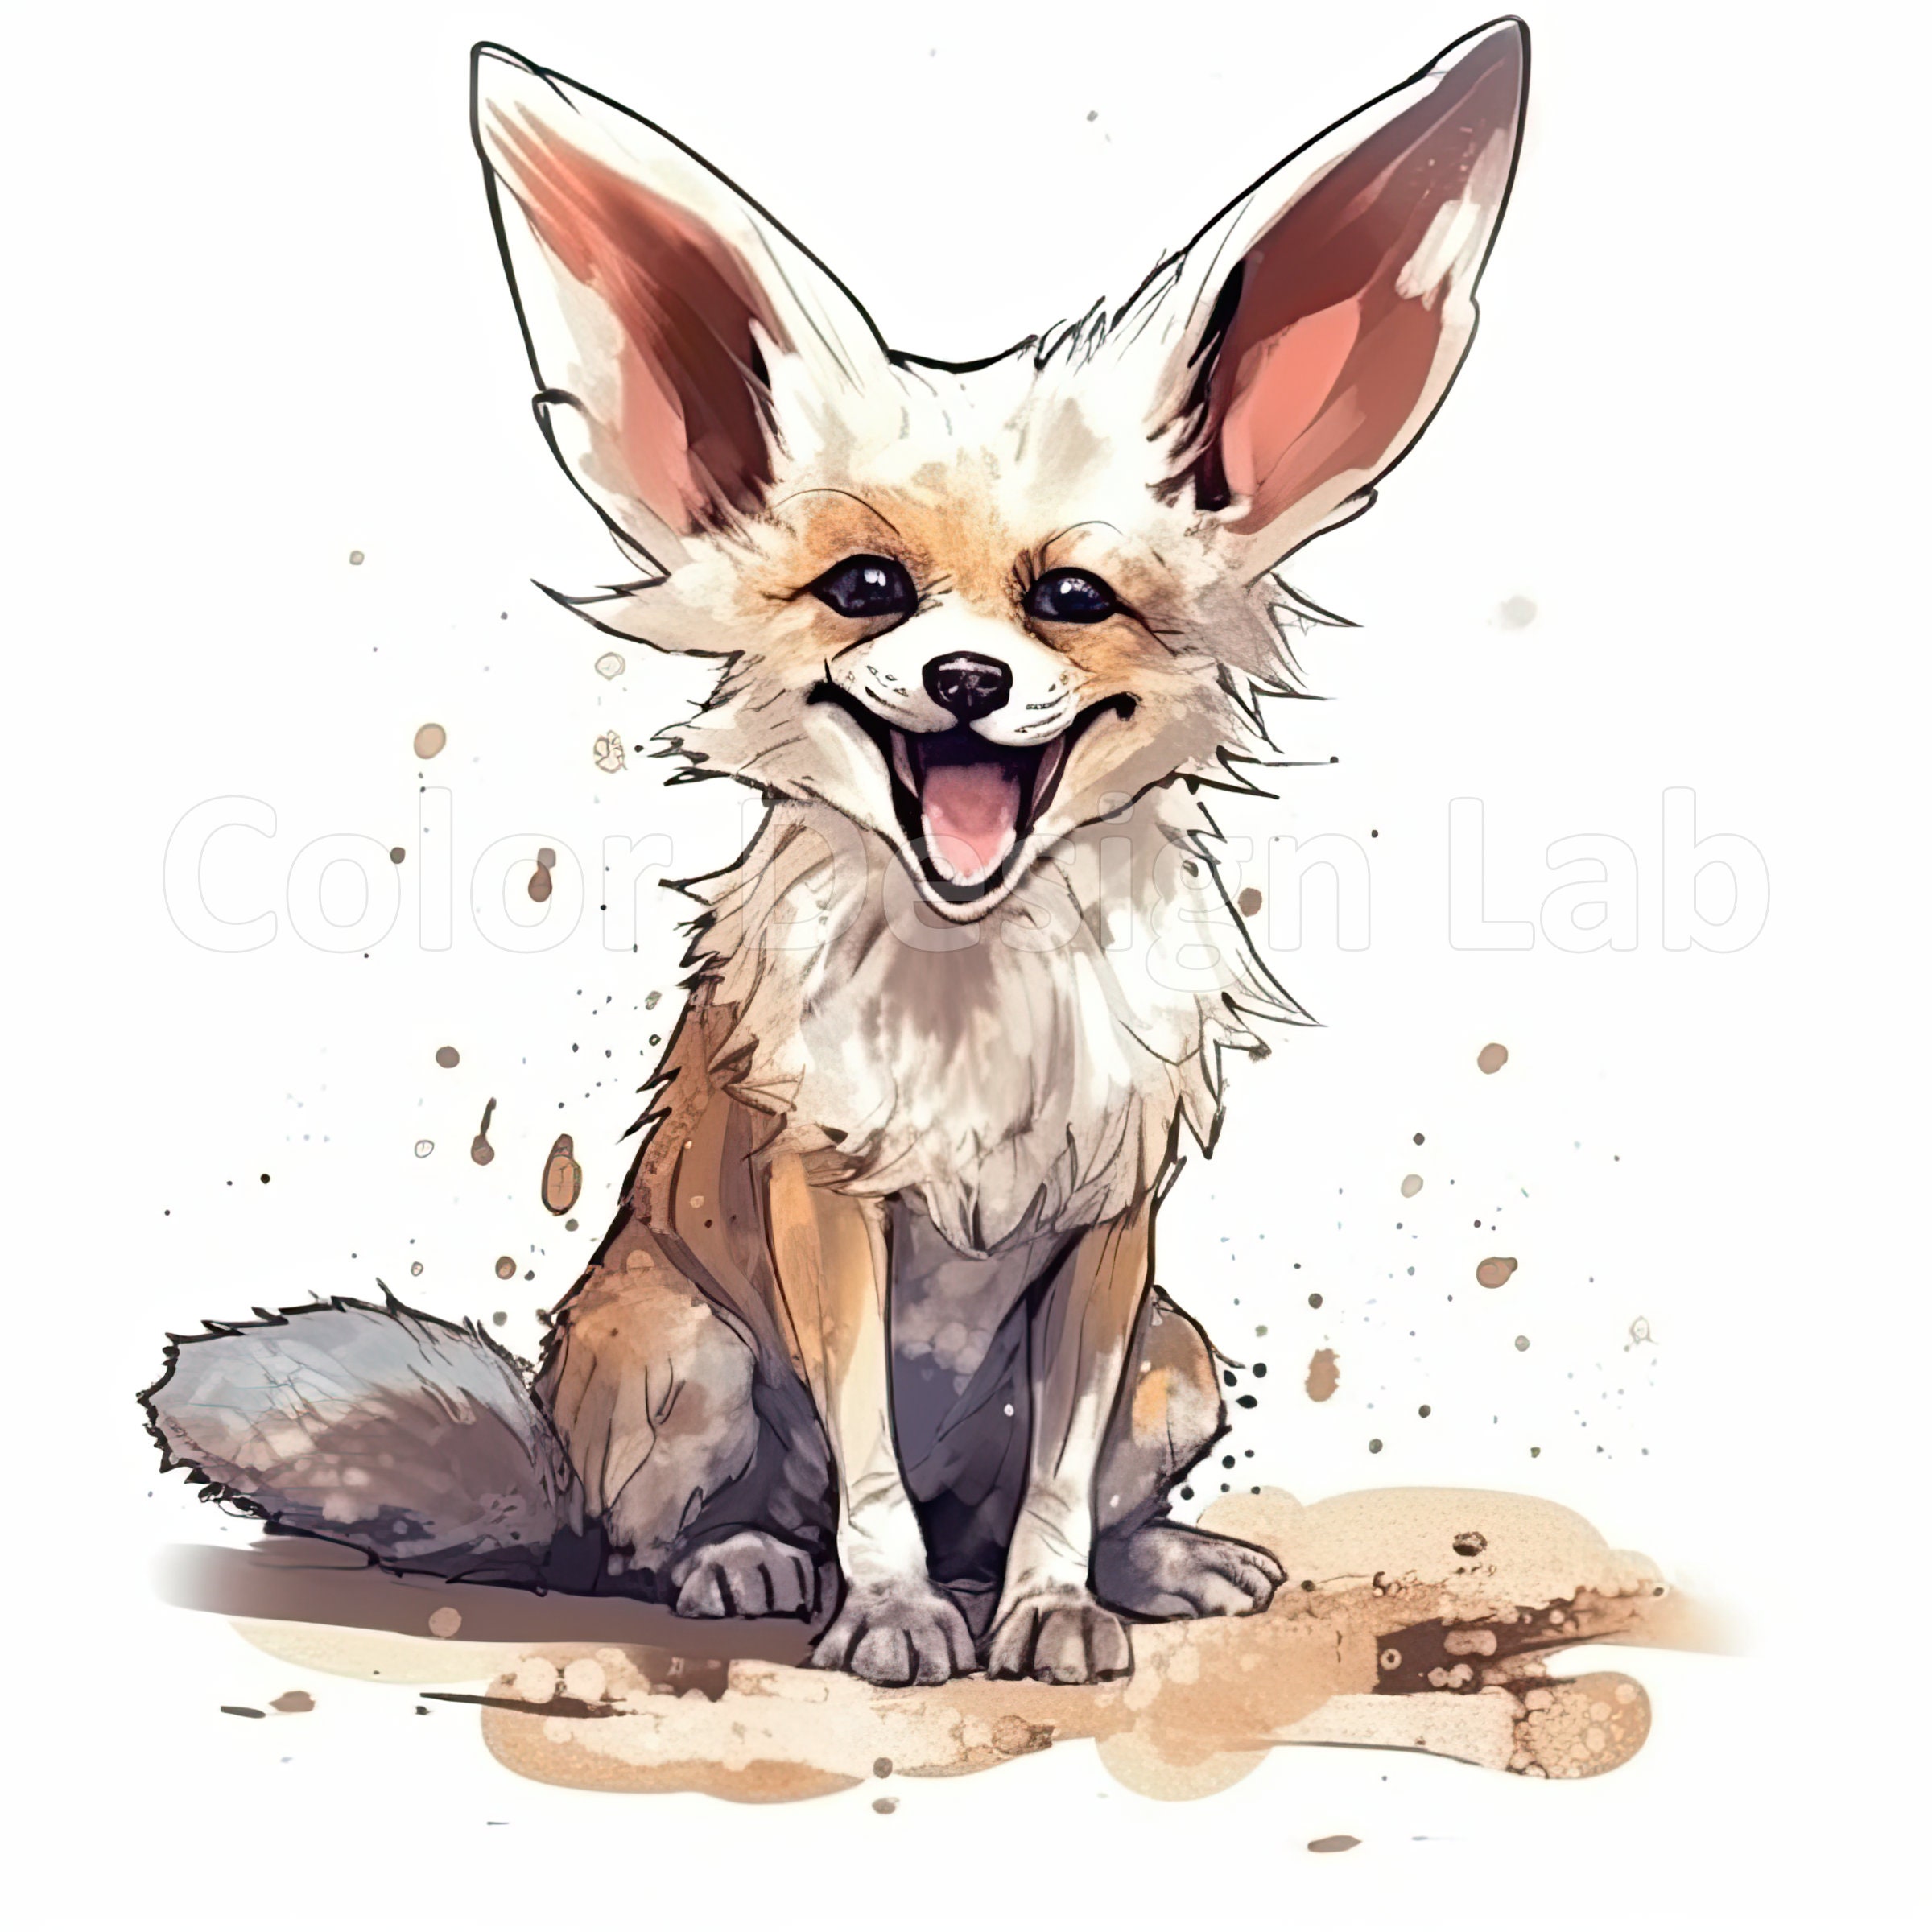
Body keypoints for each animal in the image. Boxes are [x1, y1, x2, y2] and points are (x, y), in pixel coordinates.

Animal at [144, 22, 1527, 1687]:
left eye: (1072, 599)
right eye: (867, 589)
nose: (967, 678)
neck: (978, 986)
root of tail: (551, 1476)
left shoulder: (1110, 1240)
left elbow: (1057, 1487)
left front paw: (1050, 1610)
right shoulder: (829, 1215)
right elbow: (871, 1471)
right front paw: (889, 1613)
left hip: (1181, 1362)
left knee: (1038, 1504)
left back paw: (1146, 1562)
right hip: (681, 1359)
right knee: (653, 1542)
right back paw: (746, 1563)